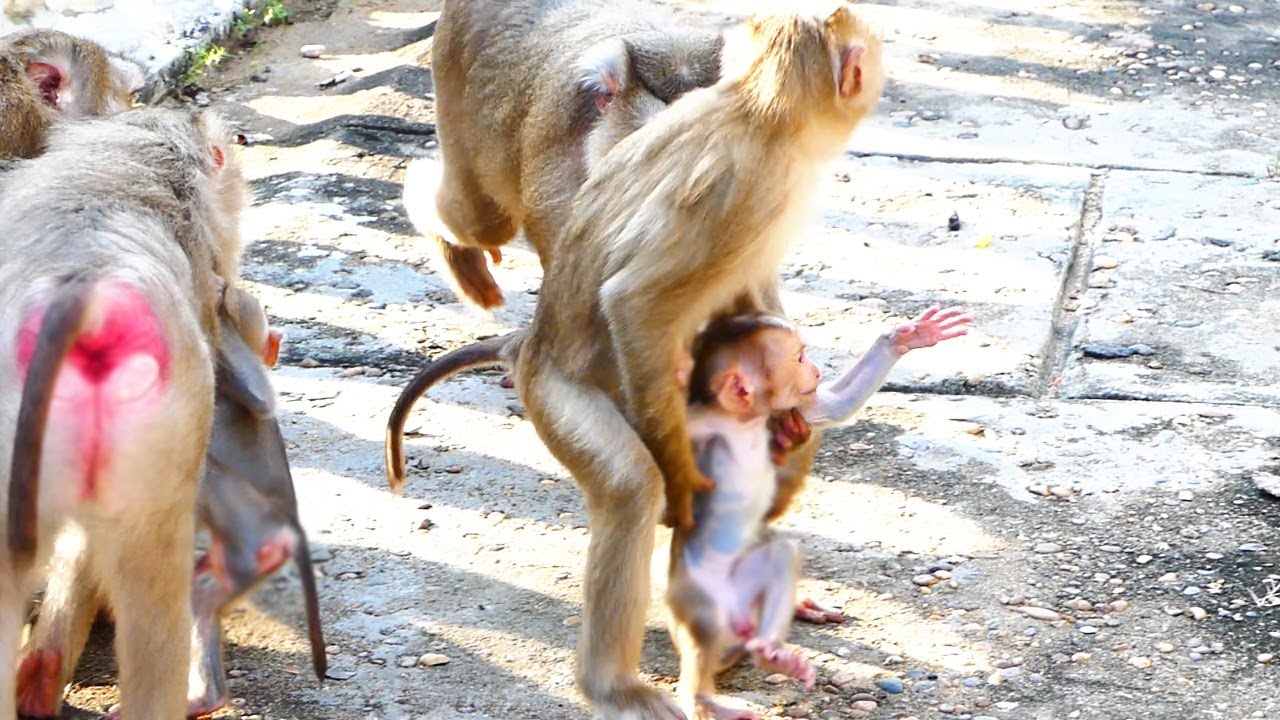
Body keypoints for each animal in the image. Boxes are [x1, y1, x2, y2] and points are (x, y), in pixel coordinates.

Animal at [666, 307, 971, 719]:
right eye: (797, 358)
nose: (814, 369)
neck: (745, 423)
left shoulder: (785, 412)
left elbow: (834, 405)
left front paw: (907, 336)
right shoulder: (707, 424)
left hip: (741, 596)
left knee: (779, 556)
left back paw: (772, 655)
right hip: (695, 593)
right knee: (701, 637)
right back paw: (700, 697)